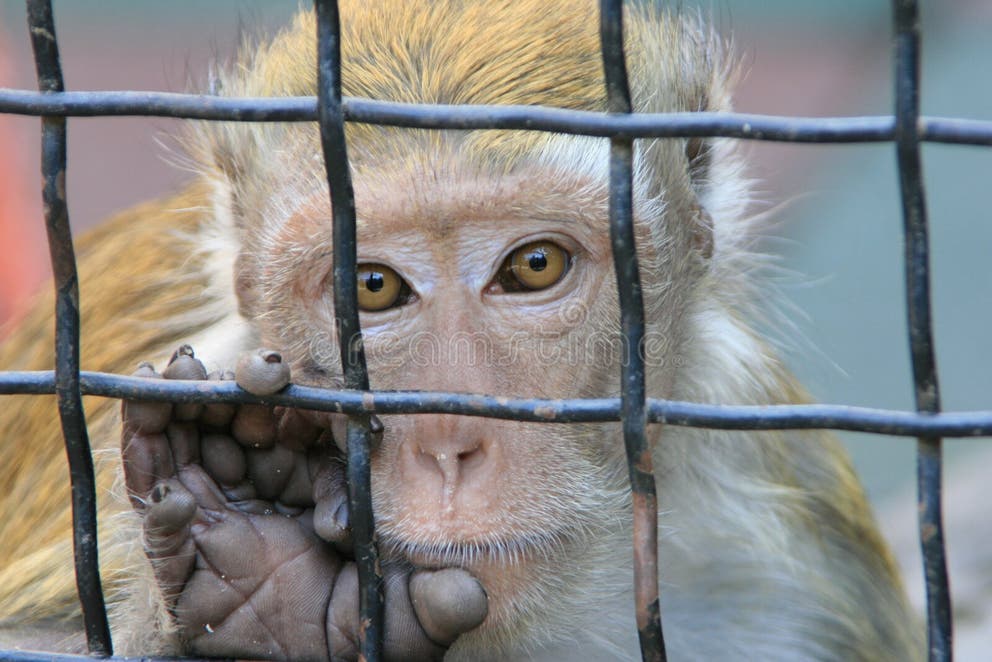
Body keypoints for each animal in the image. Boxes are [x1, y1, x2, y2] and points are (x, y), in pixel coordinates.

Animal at [0, 1, 924, 660]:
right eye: (371, 286)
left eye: (535, 266)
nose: (450, 439)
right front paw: (268, 591)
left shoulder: (790, 564)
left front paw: (271, 589)